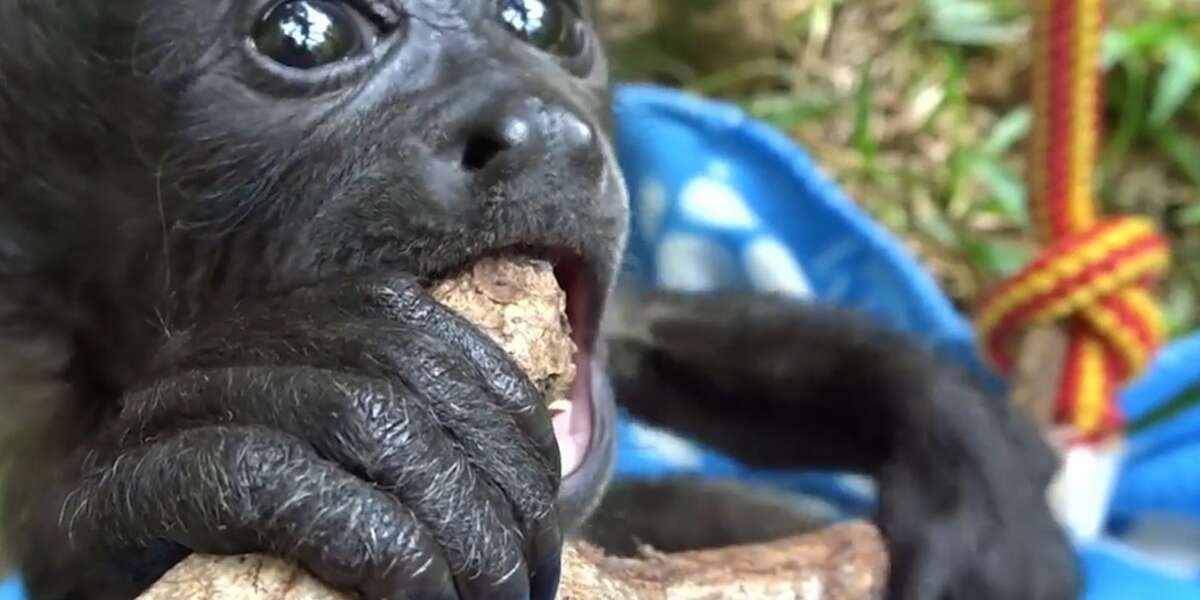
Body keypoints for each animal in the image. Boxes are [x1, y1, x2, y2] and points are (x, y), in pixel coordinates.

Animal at [0, 1, 1079, 599]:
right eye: (305, 33)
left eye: (539, 20)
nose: (545, 133)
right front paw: (291, 421)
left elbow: (654, 330)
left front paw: (976, 467)